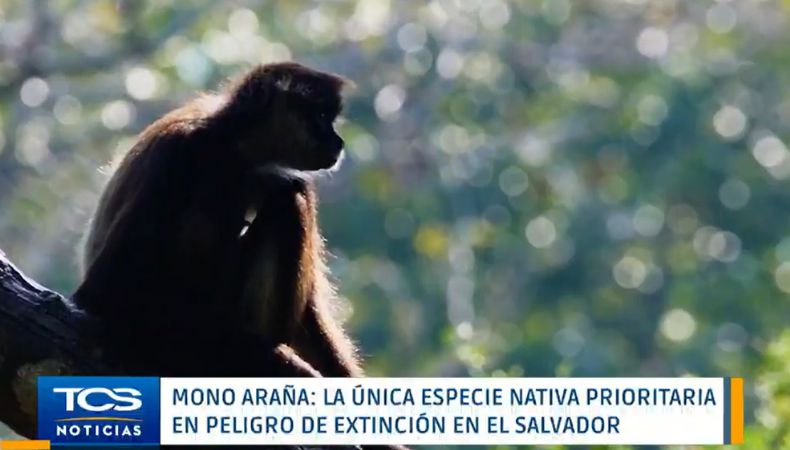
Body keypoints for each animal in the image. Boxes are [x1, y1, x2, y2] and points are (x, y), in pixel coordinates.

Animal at [73, 62, 362, 377]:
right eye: (320, 117)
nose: (338, 141)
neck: (226, 140)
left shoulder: (256, 172)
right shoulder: (181, 151)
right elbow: (106, 295)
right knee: (289, 195)